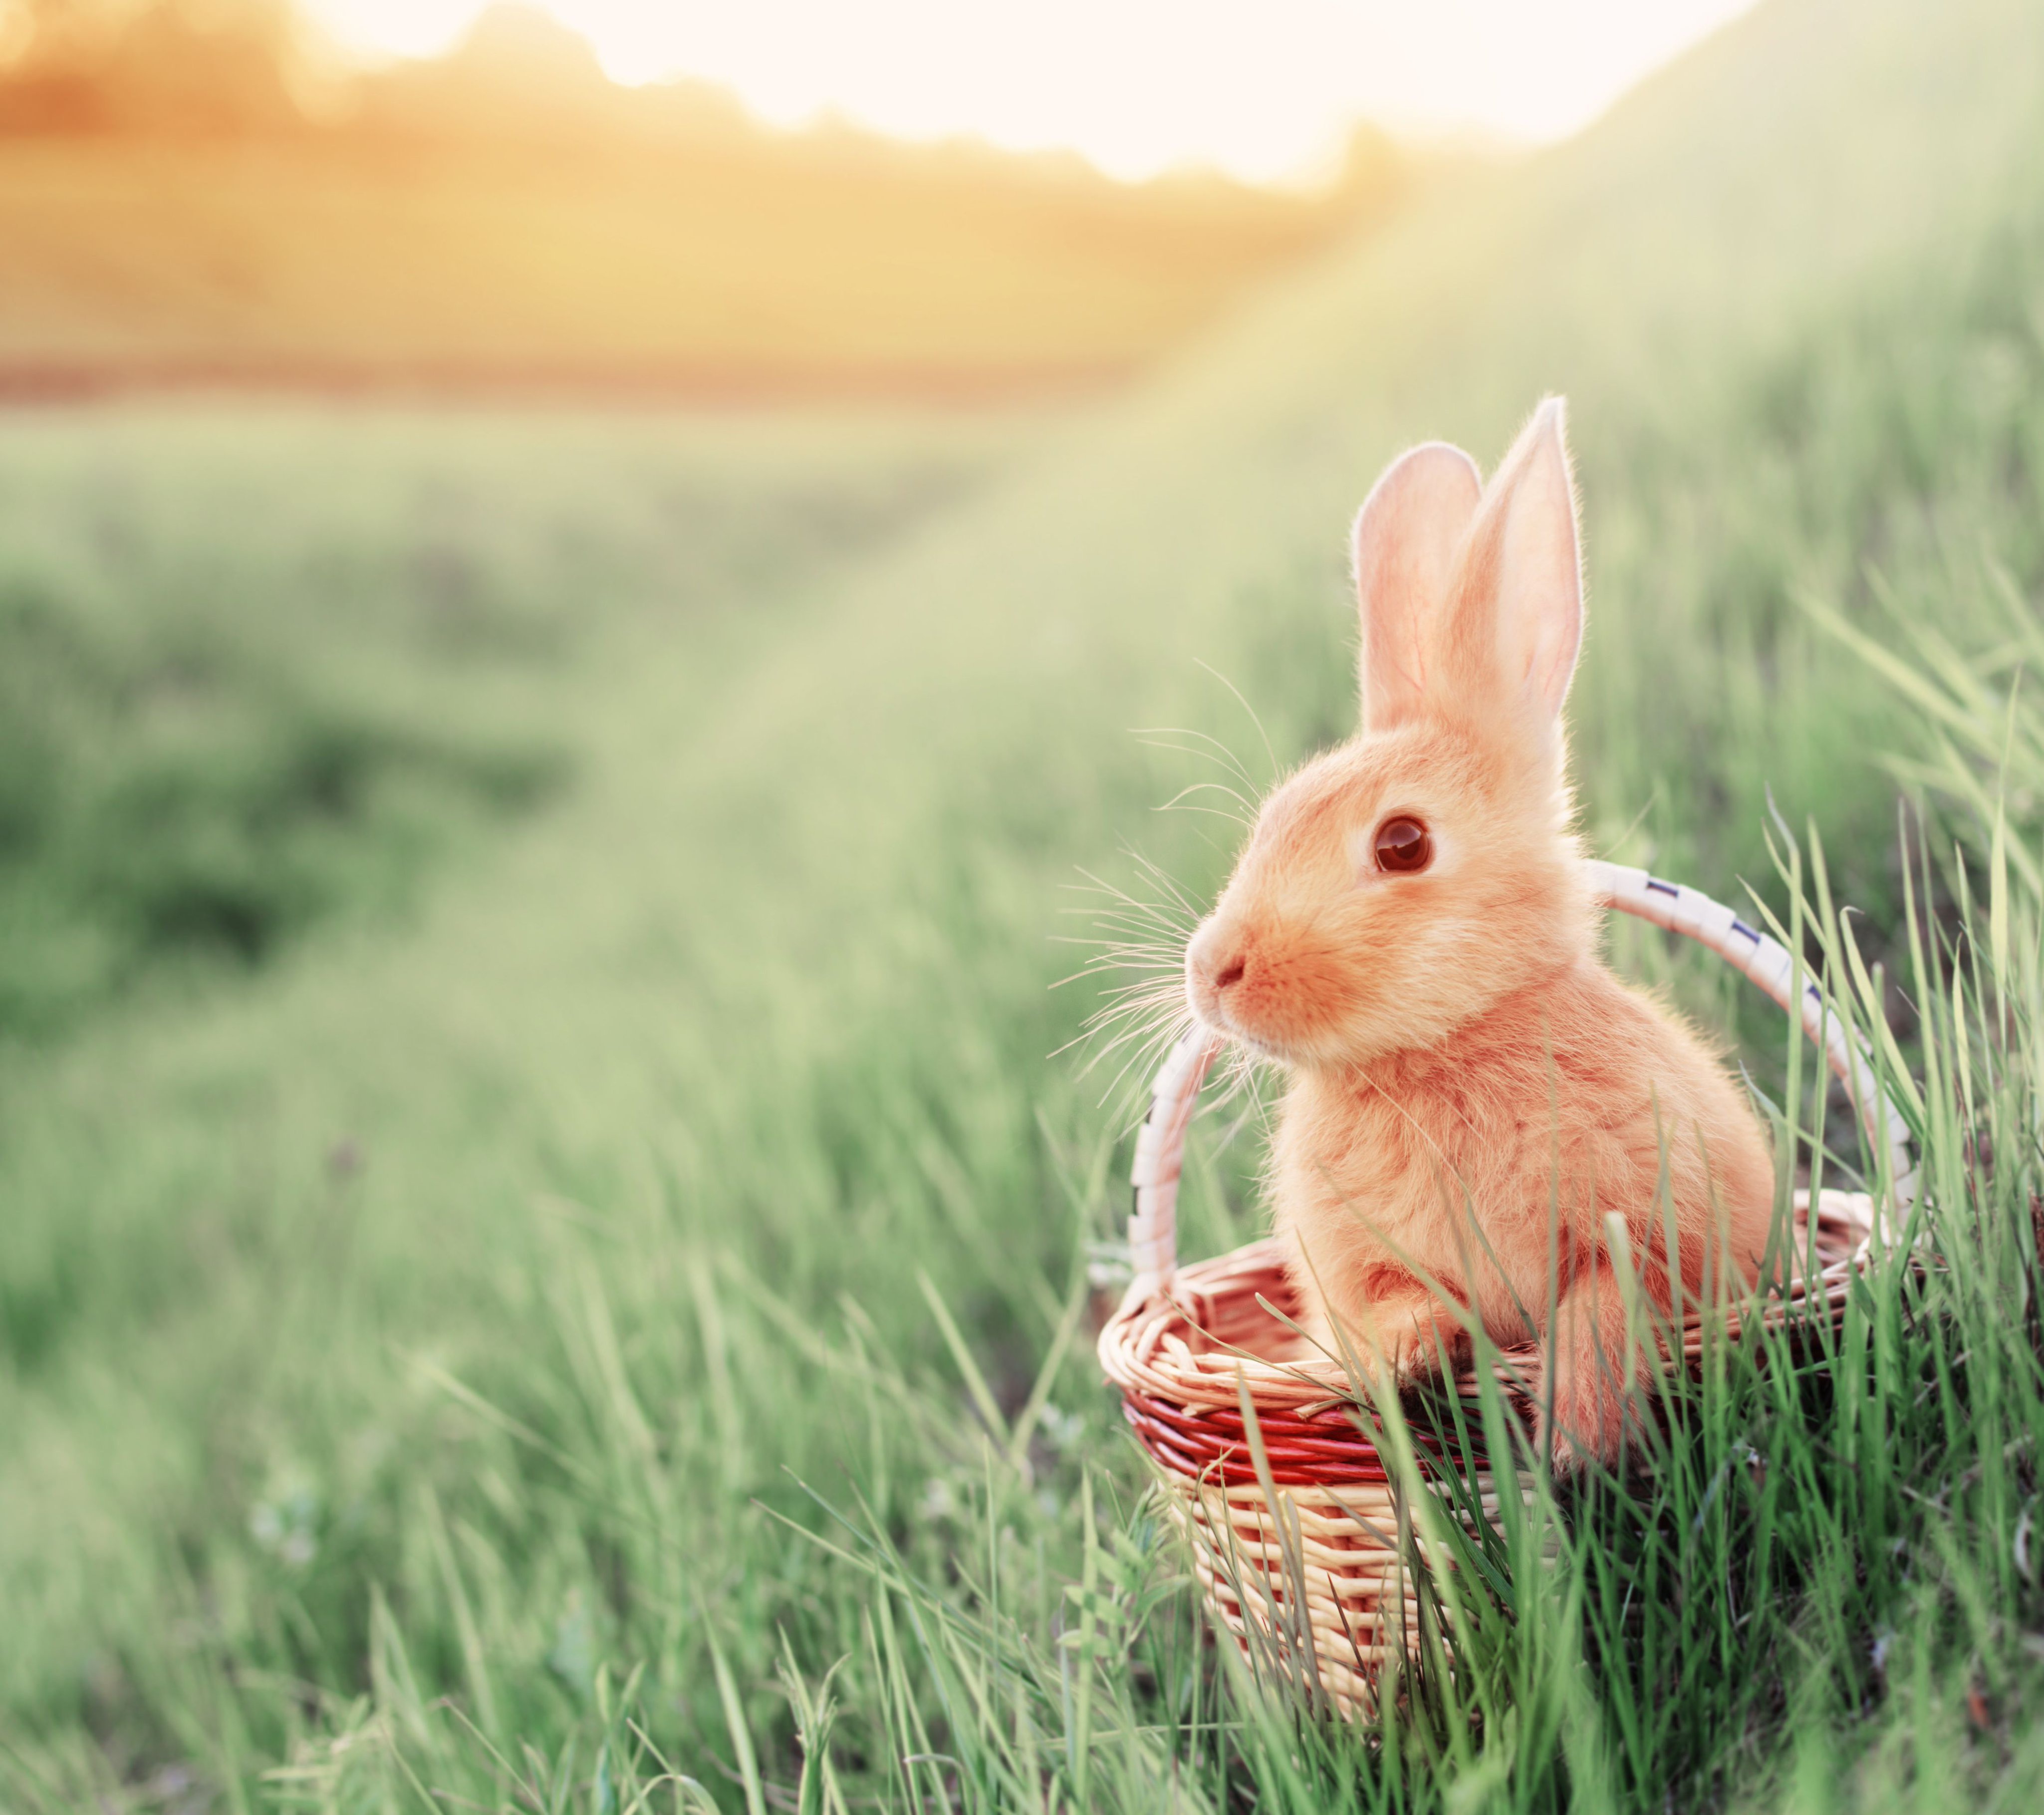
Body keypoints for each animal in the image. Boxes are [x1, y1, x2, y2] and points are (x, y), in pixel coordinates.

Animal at [1182, 397, 1774, 1468]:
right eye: (1272, 818)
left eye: (1403, 842)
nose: (1212, 972)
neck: (1439, 1050)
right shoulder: (1358, 1273)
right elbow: (1397, 1303)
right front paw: (1408, 1360)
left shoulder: (1661, 1228)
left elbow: (1608, 1297)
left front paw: (1579, 1437)